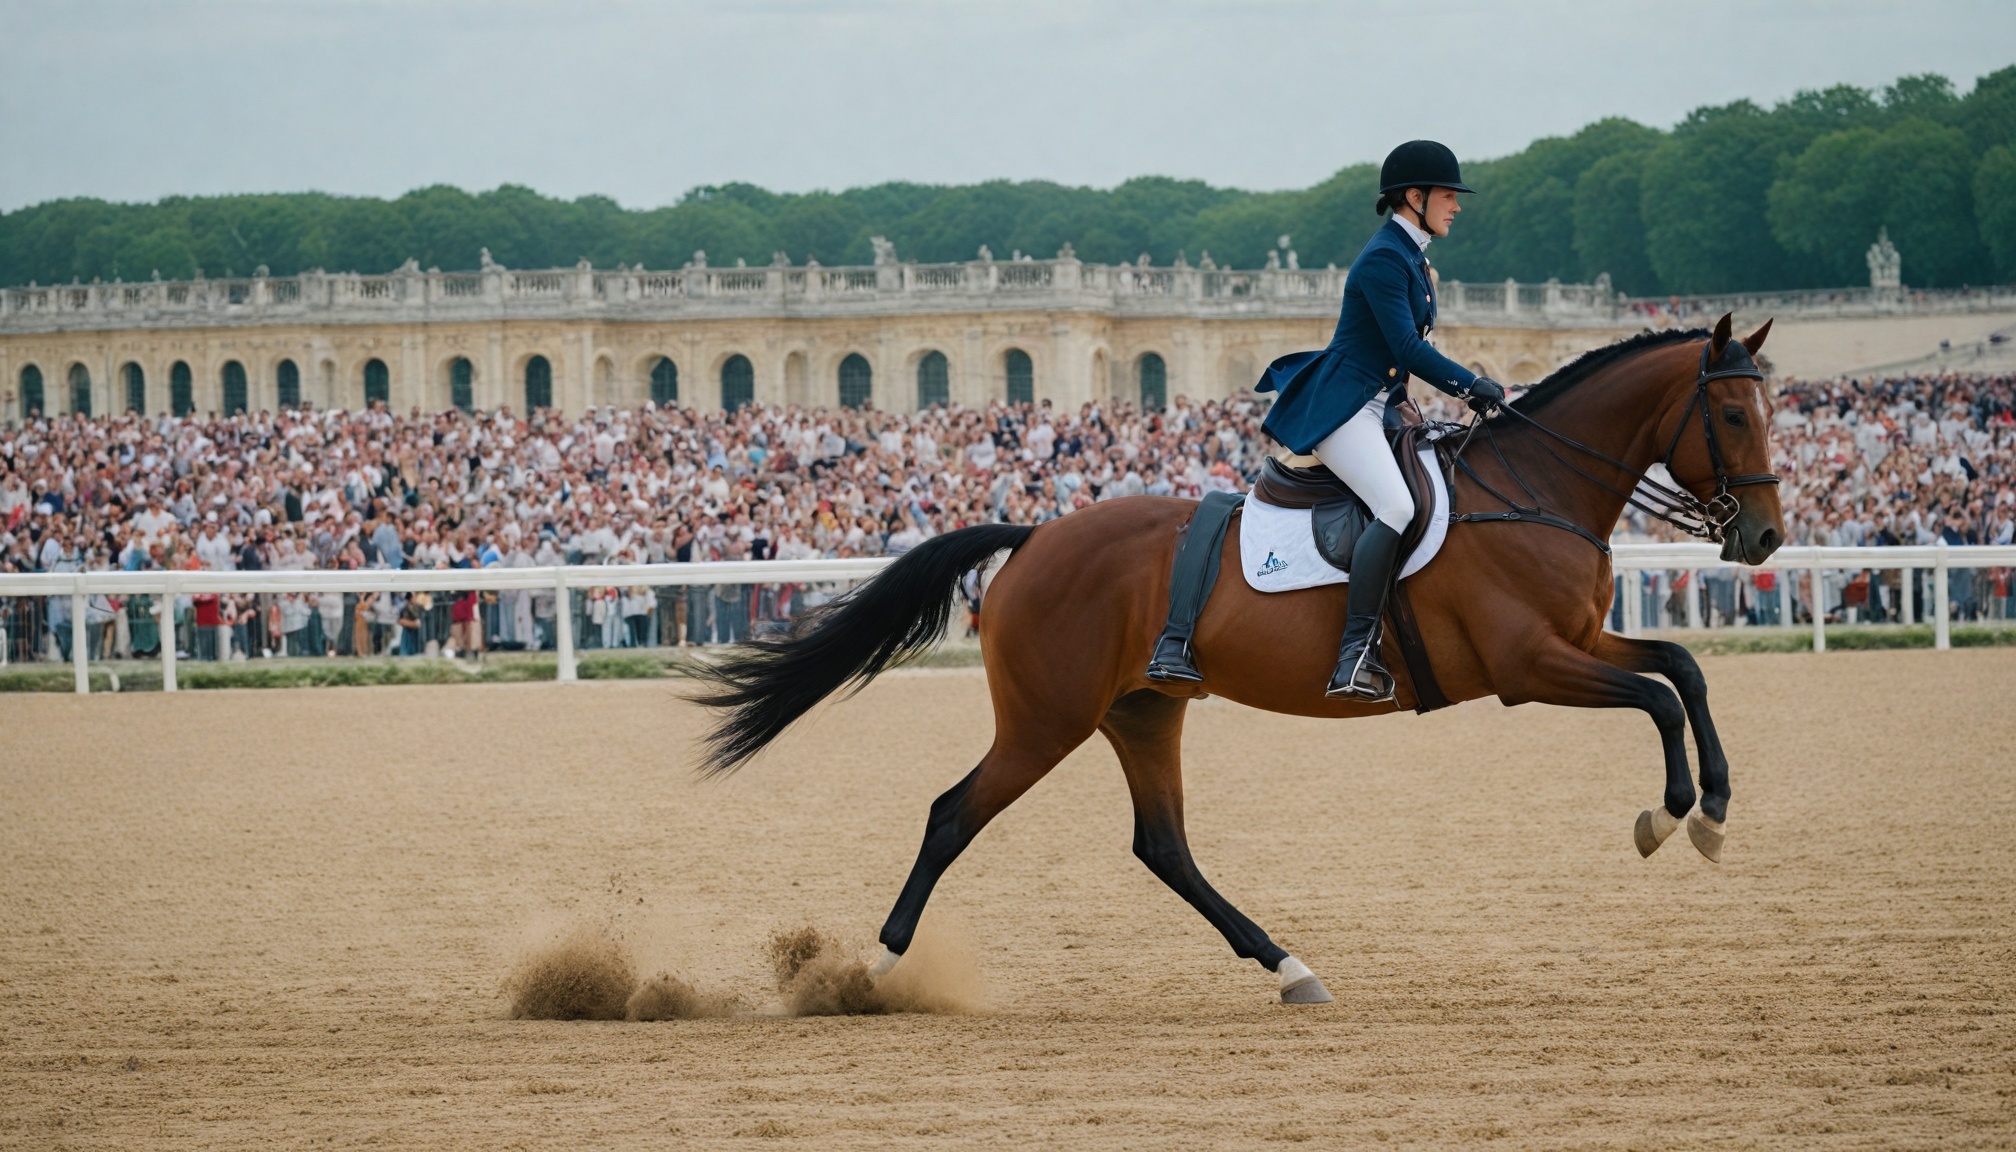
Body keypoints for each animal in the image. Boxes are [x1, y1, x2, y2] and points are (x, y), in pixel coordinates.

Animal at [689, 312, 1782, 1000]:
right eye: (1733, 414)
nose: (1764, 539)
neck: (1531, 489)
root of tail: (1036, 536)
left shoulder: (1580, 639)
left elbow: (1683, 670)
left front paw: (1716, 805)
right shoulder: (1528, 668)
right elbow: (1659, 697)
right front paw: (1670, 815)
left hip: (1141, 708)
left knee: (1162, 846)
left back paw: (1290, 967)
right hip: (1048, 719)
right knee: (954, 815)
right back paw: (871, 973)